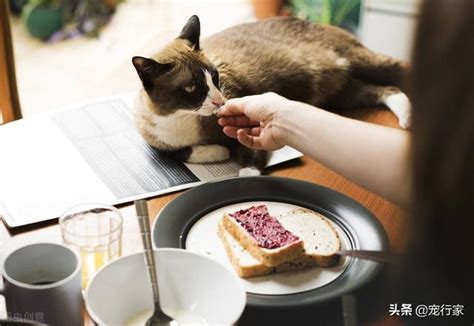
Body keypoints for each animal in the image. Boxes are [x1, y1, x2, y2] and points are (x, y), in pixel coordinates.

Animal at [131, 14, 410, 176]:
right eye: (191, 87)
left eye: (215, 76)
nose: (220, 100)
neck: (181, 119)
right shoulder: (155, 143)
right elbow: (176, 152)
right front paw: (219, 152)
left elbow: (250, 166)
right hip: (341, 97)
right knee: (385, 91)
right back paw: (406, 116)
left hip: (364, 62)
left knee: (399, 70)